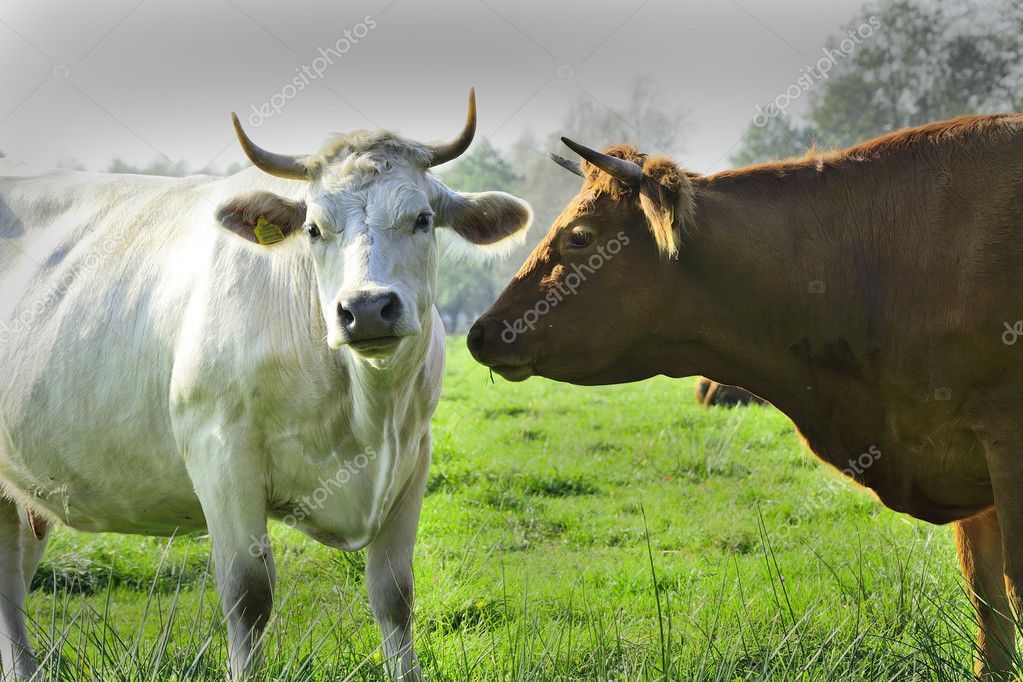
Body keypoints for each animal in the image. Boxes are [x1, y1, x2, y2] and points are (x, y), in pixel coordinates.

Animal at [0, 89, 531, 681]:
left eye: (422, 219)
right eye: (314, 229)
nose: (367, 307)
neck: (365, 415)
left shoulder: (414, 454)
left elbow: (394, 594)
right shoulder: (220, 453)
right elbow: (248, 596)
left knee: (11, 580)